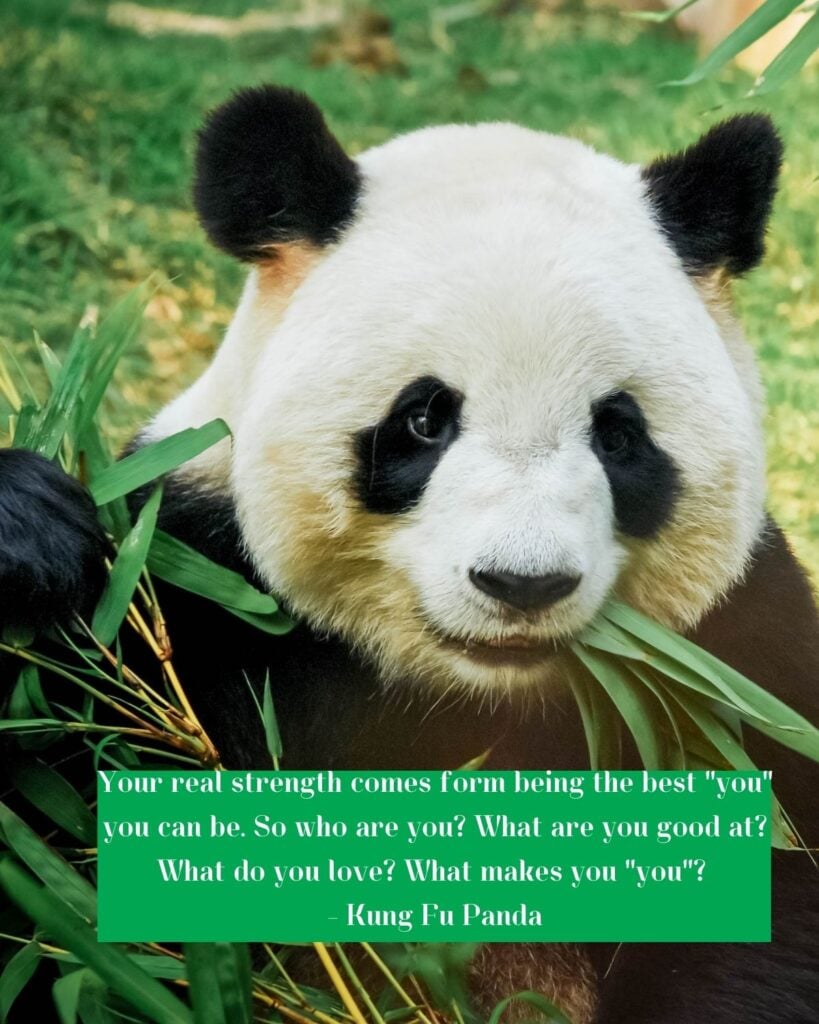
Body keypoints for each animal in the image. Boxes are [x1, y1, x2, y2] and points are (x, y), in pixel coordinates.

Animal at [1, 86, 818, 1024]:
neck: (470, 695)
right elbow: (57, 865)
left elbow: (772, 896)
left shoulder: (740, 650)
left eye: (617, 435)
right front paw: (28, 532)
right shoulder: (194, 596)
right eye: (424, 420)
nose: (522, 583)